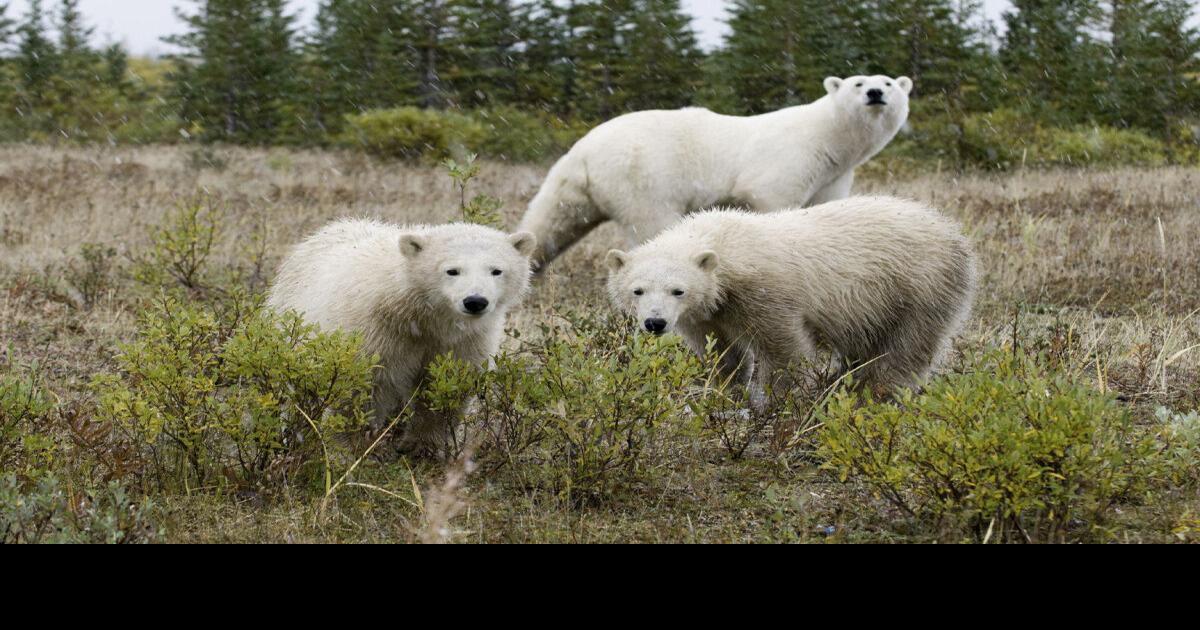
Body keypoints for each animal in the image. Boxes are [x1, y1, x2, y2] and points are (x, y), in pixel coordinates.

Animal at [267, 218, 537, 453]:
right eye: (452, 271)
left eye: (496, 270)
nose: (475, 301)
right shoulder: (376, 332)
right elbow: (358, 386)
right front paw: (351, 450)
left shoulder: (464, 341)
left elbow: (444, 383)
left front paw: (422, 447)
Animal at [520, 75, 913, 270]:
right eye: (858, 83)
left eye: (889, 83)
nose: (875, 93)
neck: (829, 136)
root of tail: (584, 149)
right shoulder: (786, 162)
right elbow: (771, 200)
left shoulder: (832, 175)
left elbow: (824, 209)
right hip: (644, 178)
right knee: (654, 225)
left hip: (573, 187)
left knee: (550, 223)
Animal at [605, 197, 975, 397]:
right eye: (638, 289)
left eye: (677, 290)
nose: (655, 322)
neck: (727, 245)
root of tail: (954, 234)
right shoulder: (708, 312)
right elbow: (722, 351)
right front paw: (724, 390)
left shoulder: (764, 294)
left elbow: (785, 350)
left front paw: (771, 403)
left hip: (919, 286)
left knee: (905, 349)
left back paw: (872, 394)